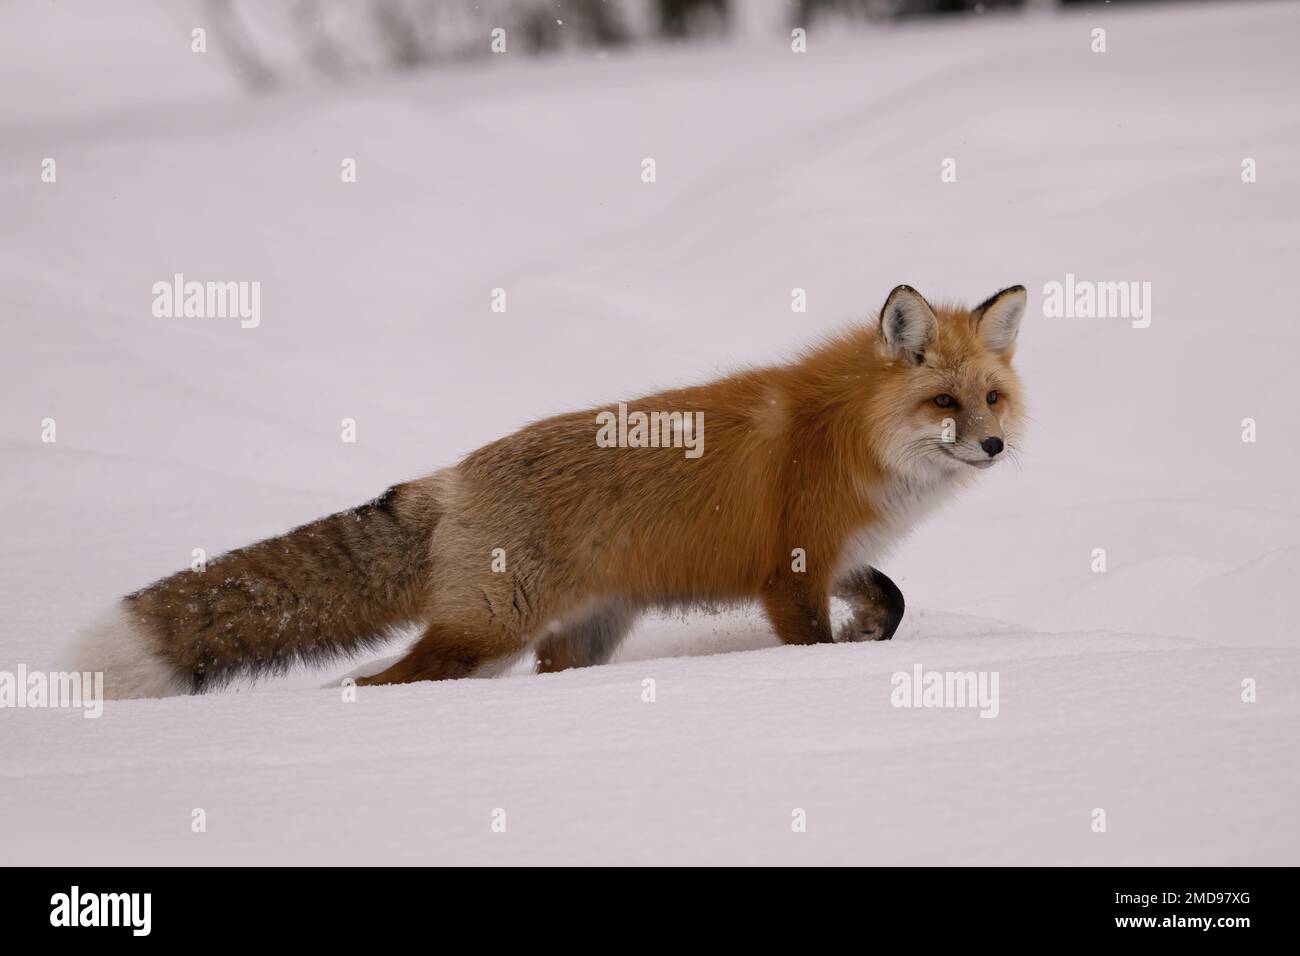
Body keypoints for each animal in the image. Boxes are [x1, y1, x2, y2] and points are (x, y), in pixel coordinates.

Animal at [68, 284, 1027, 699]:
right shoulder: (788, 573)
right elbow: (810, 644)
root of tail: (452, 477)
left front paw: (872, 639)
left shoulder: (836, 557)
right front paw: (834, 665)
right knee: (396, 676)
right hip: (486, 631)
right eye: (943, 403)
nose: (994, 445)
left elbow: (889, 600)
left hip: (578, 636)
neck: (850, 435)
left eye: (992, 397)